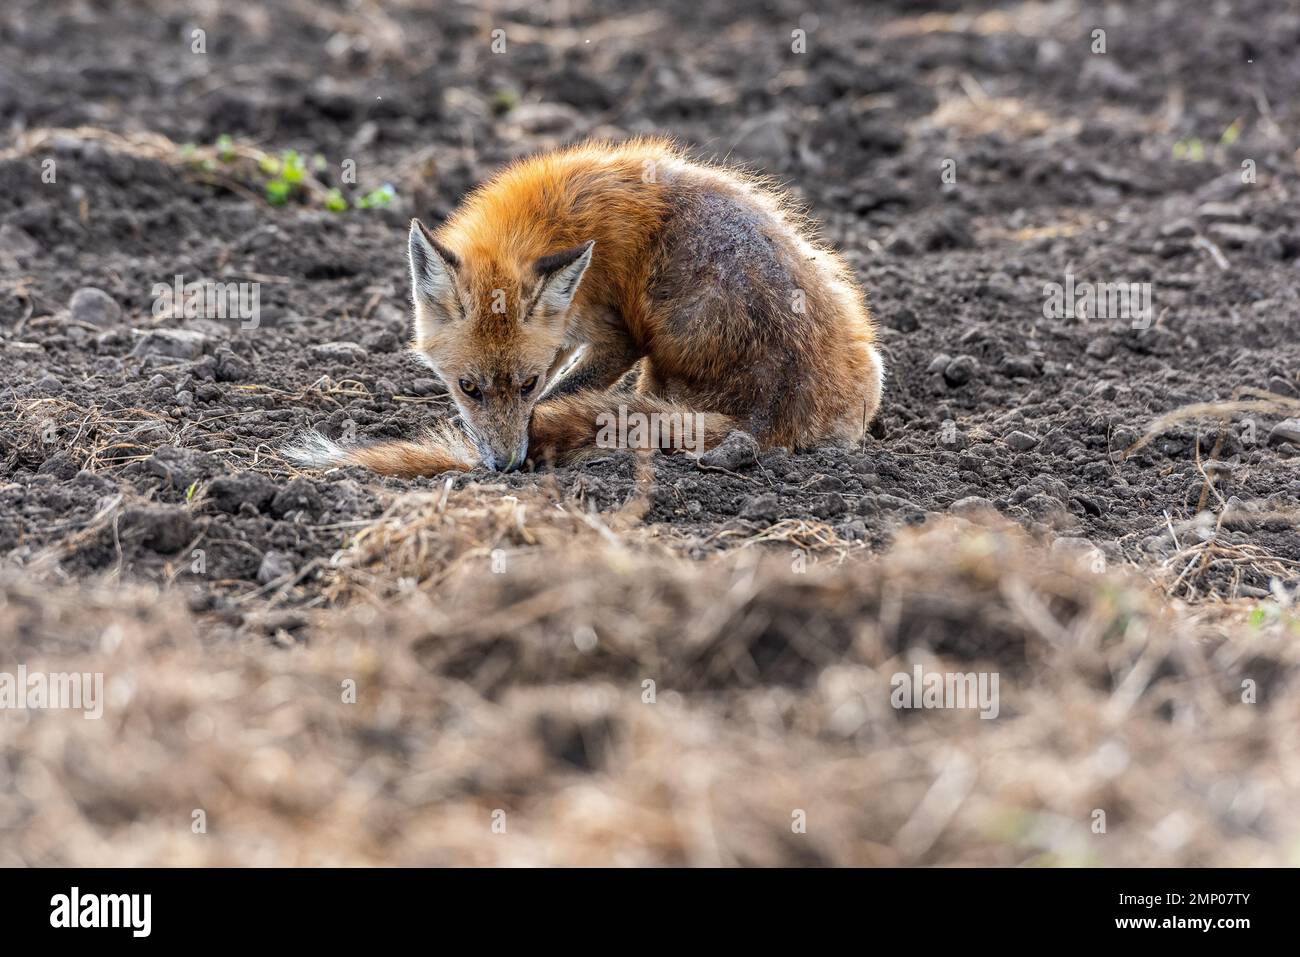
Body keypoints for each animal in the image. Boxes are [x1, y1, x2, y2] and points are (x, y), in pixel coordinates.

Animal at [288, 137, 884, 476]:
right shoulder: (561, 338)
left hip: (657, 369)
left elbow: (560, 397)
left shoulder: (617, 339)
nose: (505, 466)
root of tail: (768, 417)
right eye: (468, 388)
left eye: (524, 385)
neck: (552, 222)